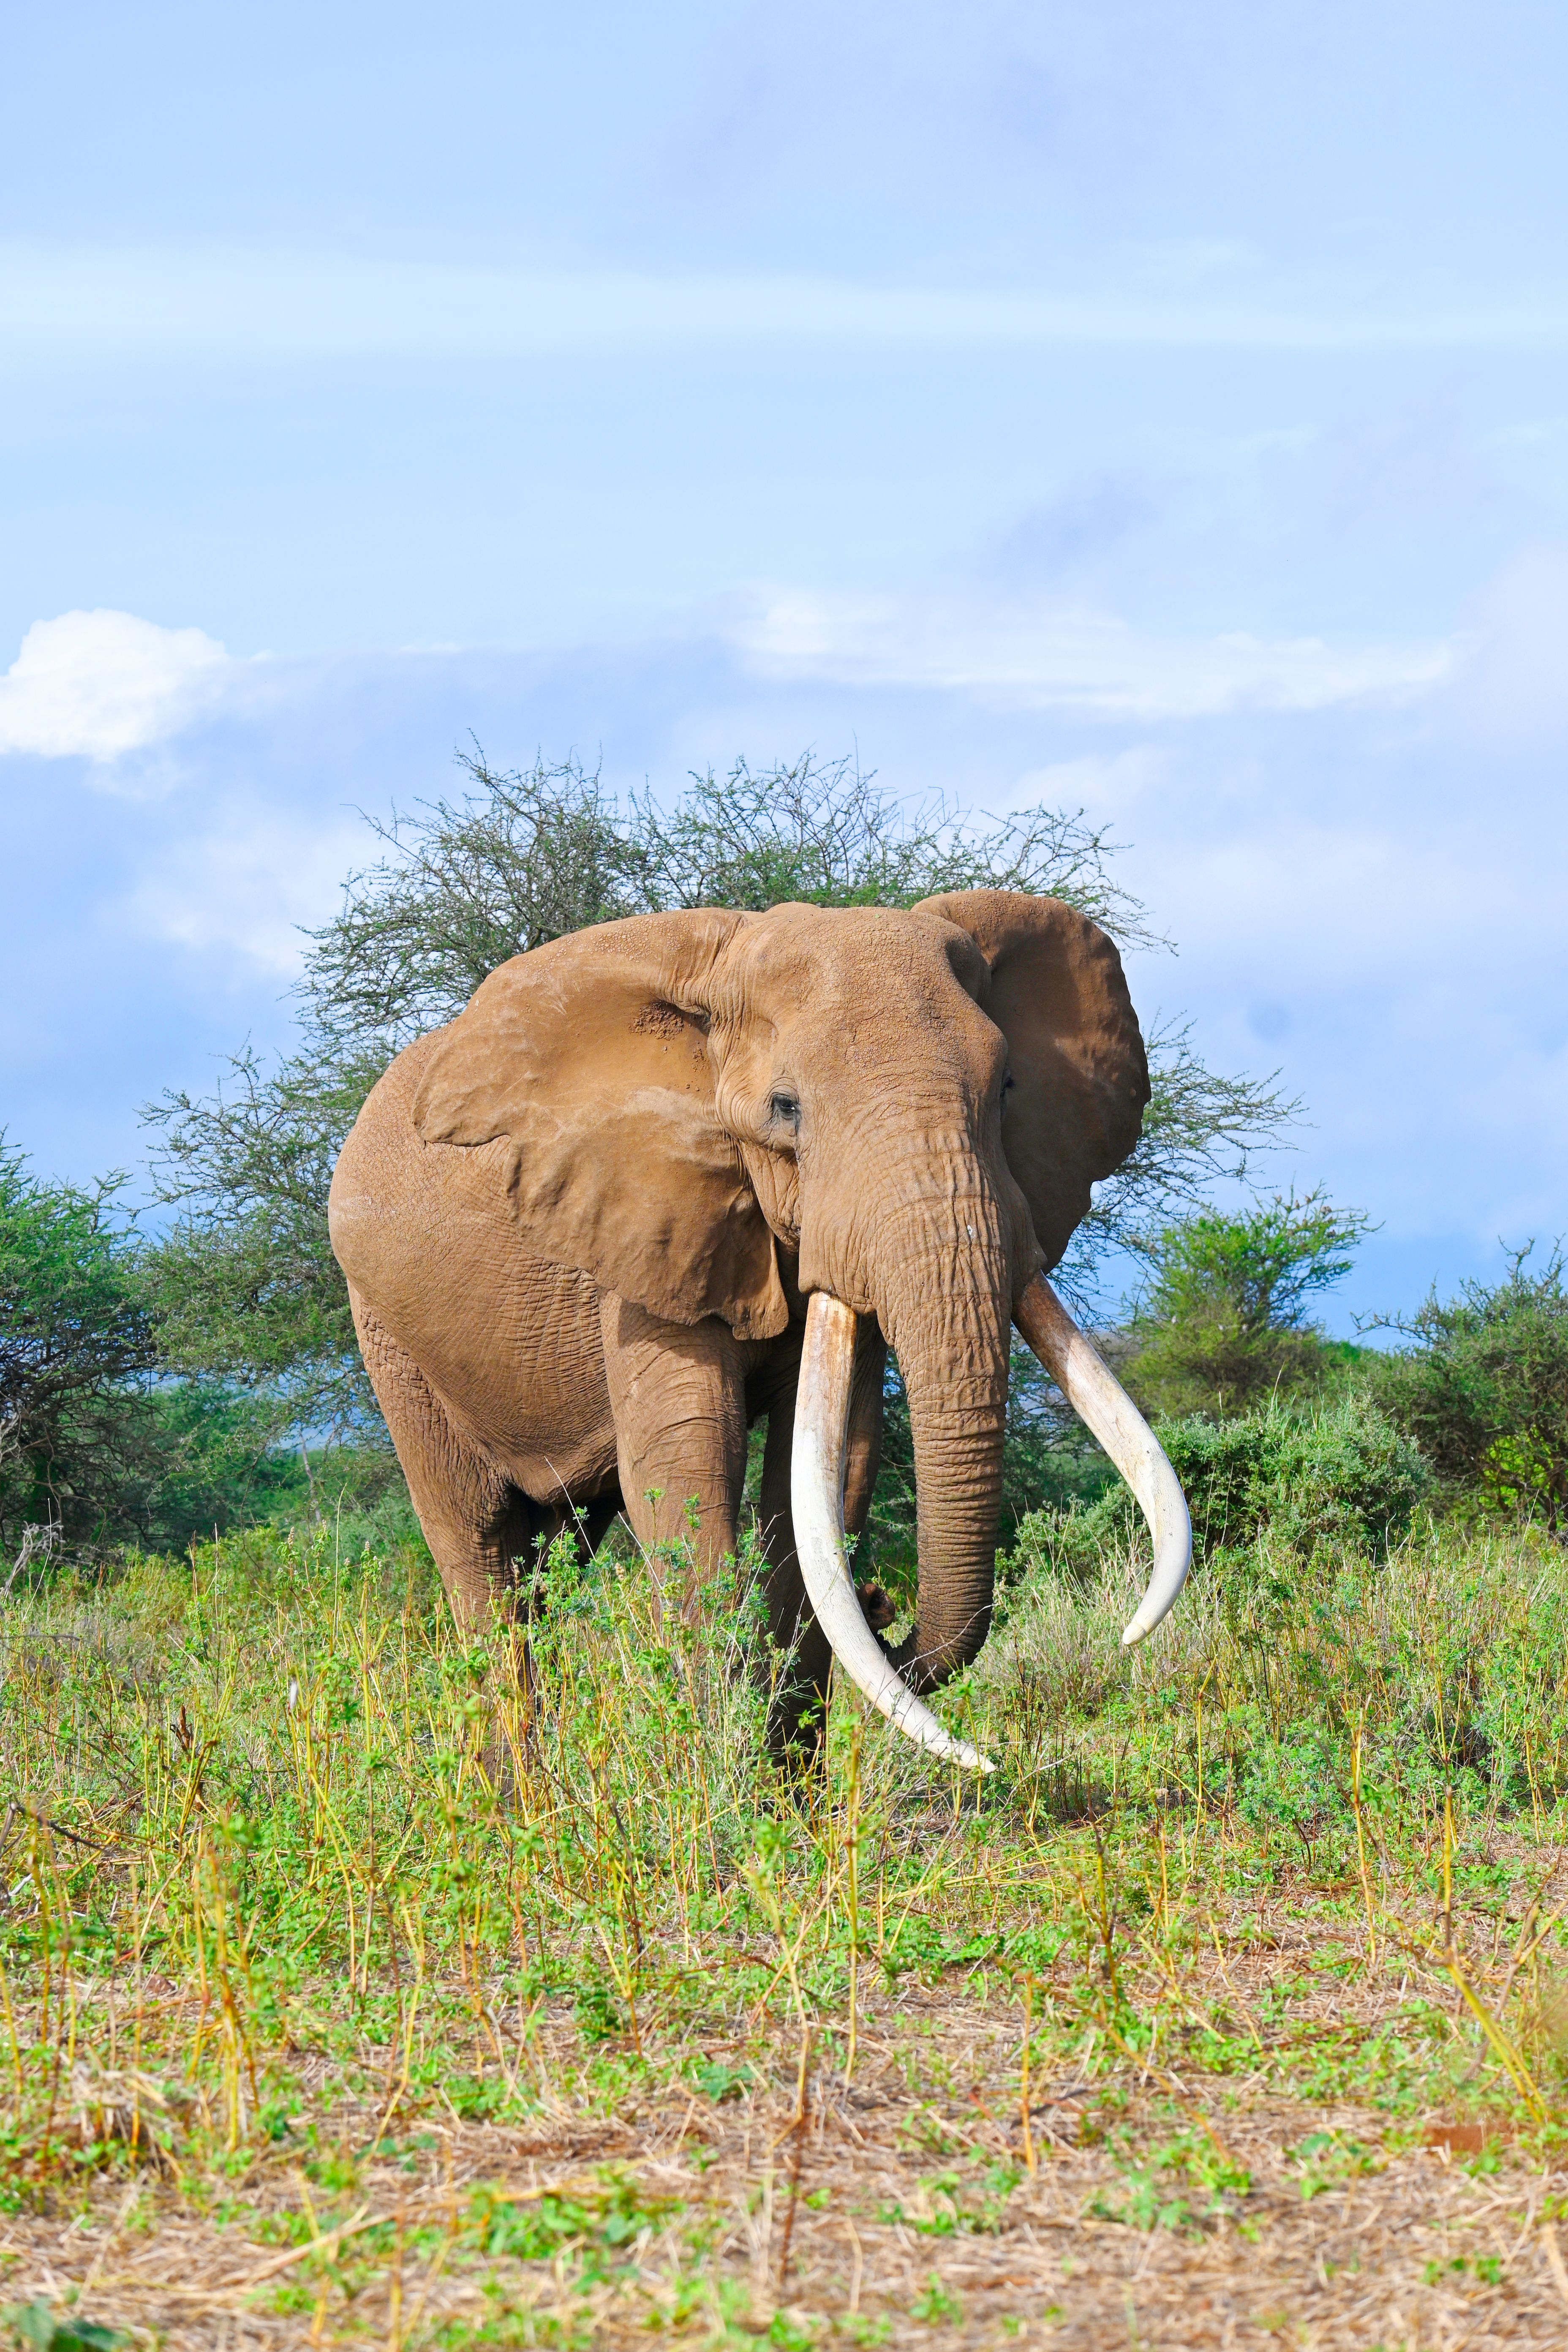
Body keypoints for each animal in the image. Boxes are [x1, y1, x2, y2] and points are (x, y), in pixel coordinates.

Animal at [327, 889, 1190, 1771]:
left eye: (1008, 1085)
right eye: (786, 1108)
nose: (882, 1604)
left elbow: (835, 1469)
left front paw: (783, 1792)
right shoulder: (644, 1228)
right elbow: (687, 1462)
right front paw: (721, 1794)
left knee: (552, 1553)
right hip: (389, 1335)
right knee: (482, 1553)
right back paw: (517, 1795)